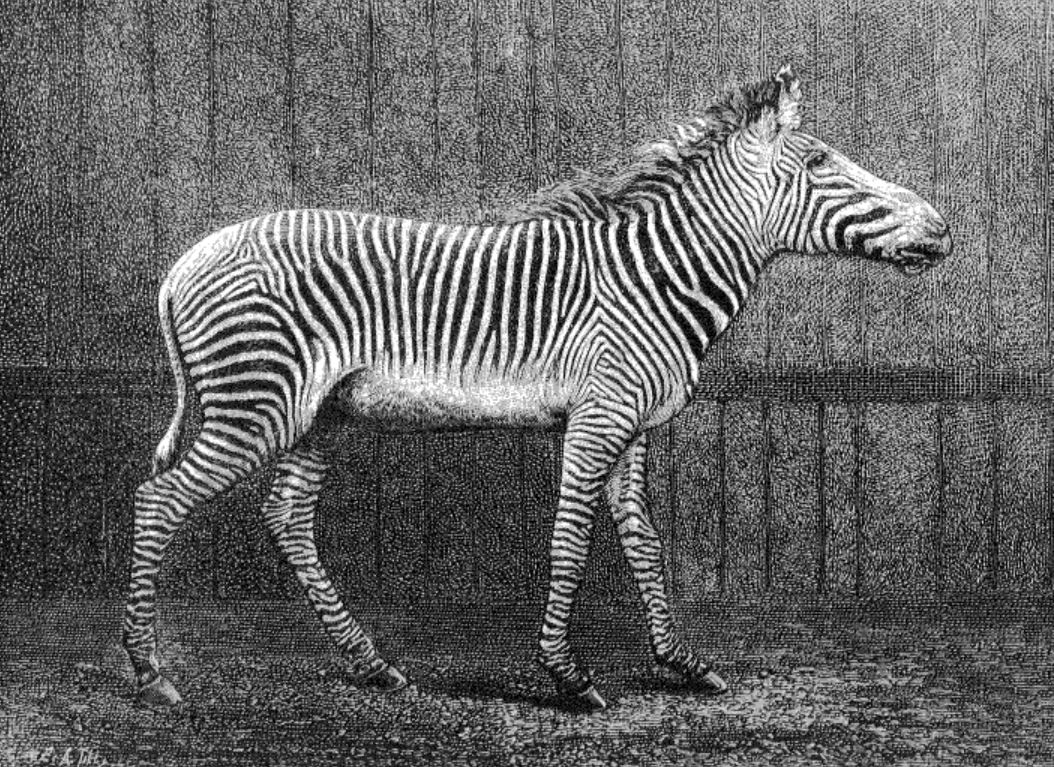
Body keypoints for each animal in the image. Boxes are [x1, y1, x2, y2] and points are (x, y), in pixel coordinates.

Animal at [124, 66, 951, 711]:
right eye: (817, 163)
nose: (942, 229)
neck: (654, 277)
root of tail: (182, 264)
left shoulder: (633, 426)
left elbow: (643, 542)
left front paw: (680, 663)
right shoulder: (597, 416)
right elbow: (571, 540)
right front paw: (567, 674)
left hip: (317, 414)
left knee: (288, 517)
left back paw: (371, 663)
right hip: (256, 405)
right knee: (158, 499)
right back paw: (150, 672)